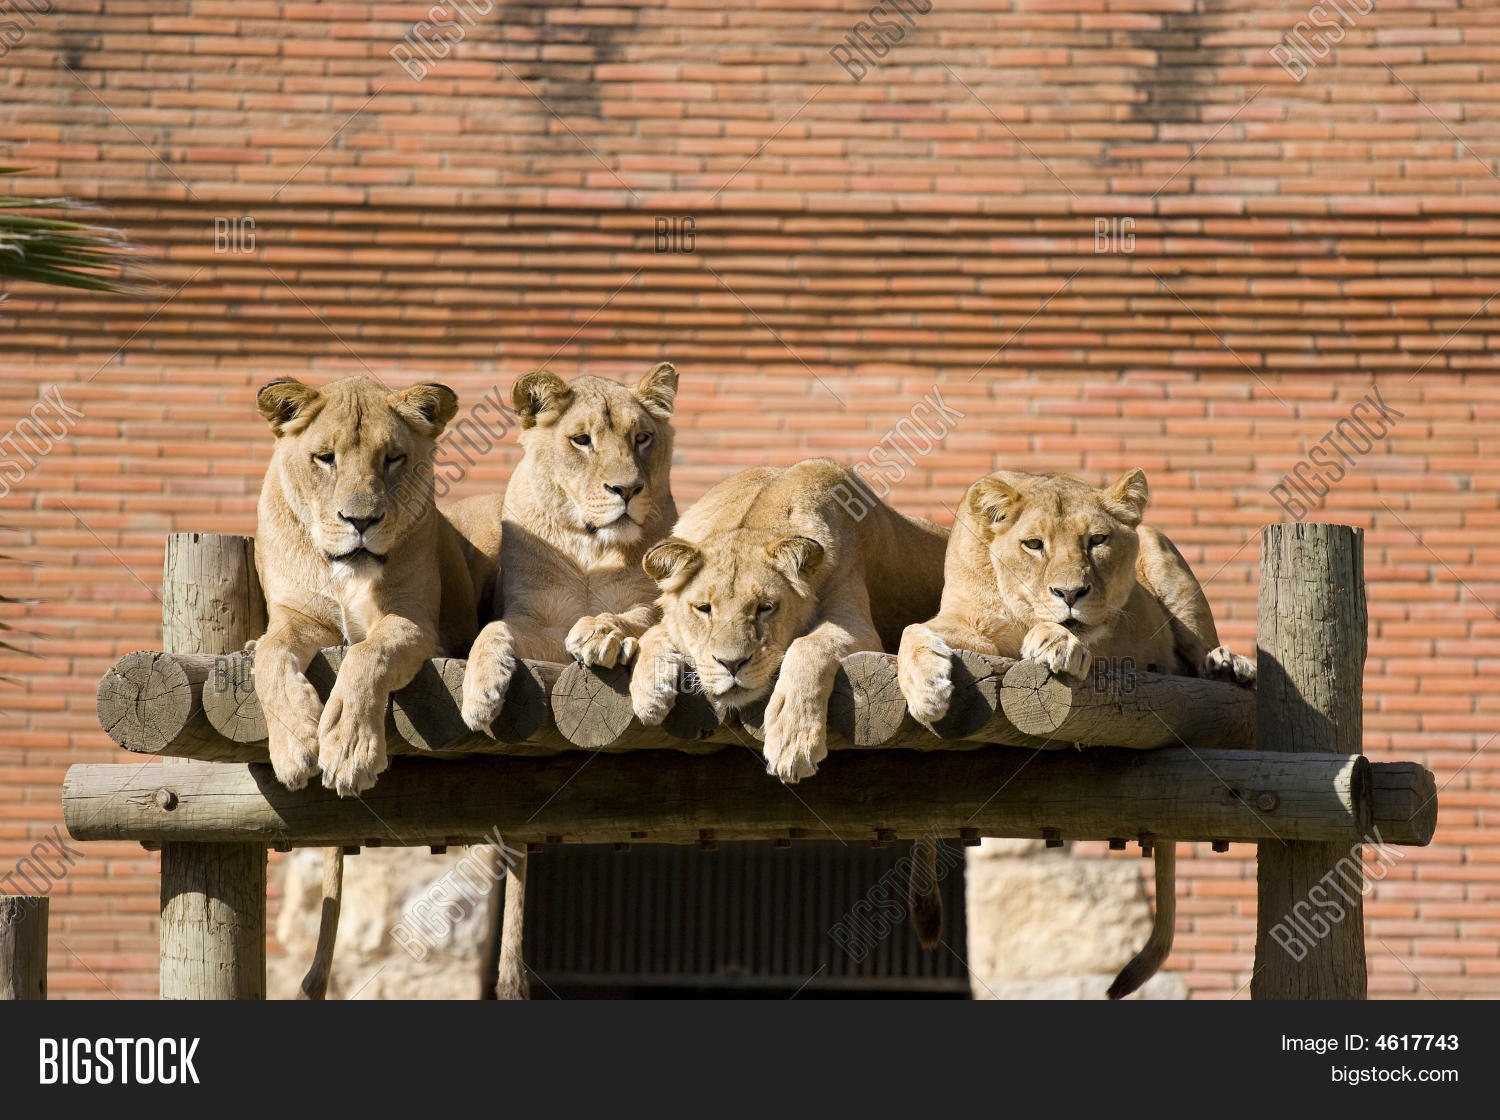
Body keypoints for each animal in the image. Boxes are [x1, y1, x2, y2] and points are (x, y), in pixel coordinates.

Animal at [629, 458, 953, 945]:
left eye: (765, 607)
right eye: (703, 608)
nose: (731, 663)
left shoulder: (857, 626)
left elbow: (807, 647)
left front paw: (790, 740)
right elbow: (654, 631)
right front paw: (648, 689)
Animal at [895, 467, 1255, 998]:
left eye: (1097, 541)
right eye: (1033, 544)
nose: (1070, 595)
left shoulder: (1115, 646)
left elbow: (1073, 637)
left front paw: (1054, 640)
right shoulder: (962, 623)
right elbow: (911, 631)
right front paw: (926, 691)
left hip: (1162, 550)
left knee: (1198, 653)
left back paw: (1228, 664)